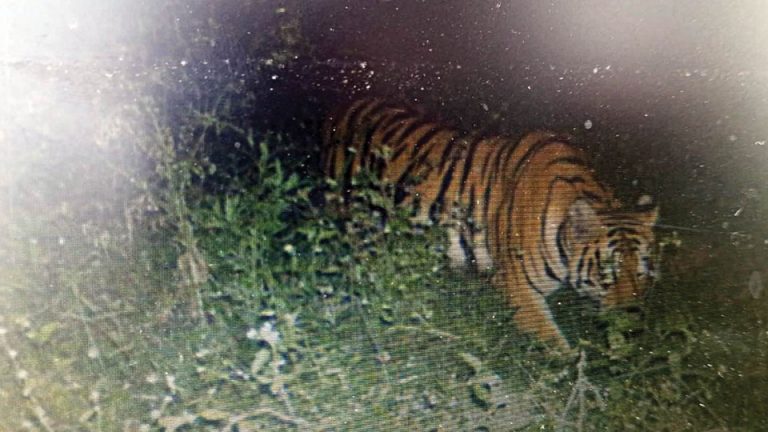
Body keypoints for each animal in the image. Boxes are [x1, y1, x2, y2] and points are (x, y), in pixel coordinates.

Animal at [322, 97, 659, 349]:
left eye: (643, 271)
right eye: (607, 270)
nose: (633, 322)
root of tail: (349, 104)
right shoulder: (518, 288)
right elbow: (558, 350)